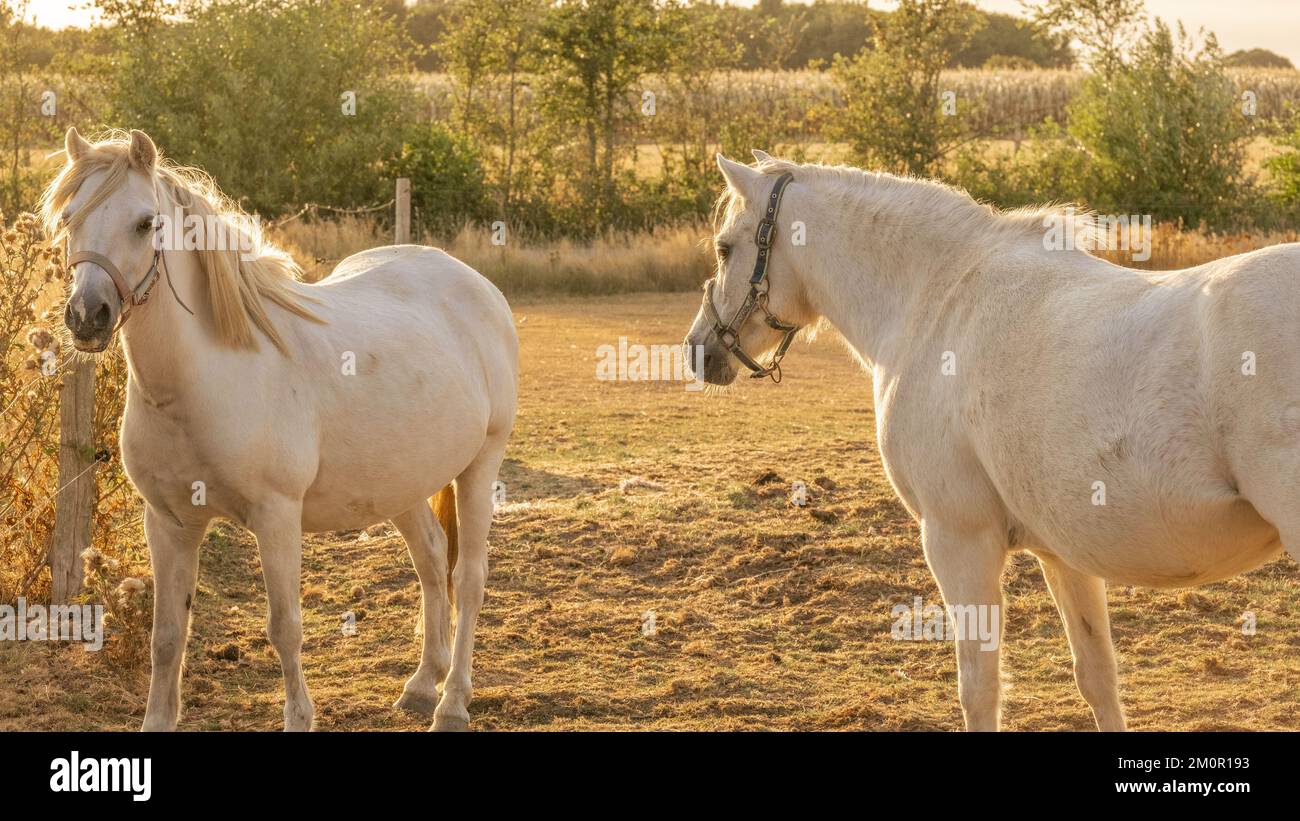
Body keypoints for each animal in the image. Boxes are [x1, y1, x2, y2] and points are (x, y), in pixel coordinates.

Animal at [44, 128, 517, 732]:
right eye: (70, 218)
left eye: (145, 222)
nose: (87, 316)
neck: (207, 378)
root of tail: (477, 287)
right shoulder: (169, 522)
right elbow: (168, 635)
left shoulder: (276, 518)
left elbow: (285, 628)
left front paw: (299, 716)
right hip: (401, 482)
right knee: (433, 561)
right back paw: (419, 685)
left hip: (480, 466)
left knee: (469, 579)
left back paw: (452, 702)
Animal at [685, 150, 1300, 731]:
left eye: (725, 247)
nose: (699, 351)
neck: (937, 302)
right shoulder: (1064, 553)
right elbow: (1097, 678)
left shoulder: (959, 540)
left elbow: (979, 691)